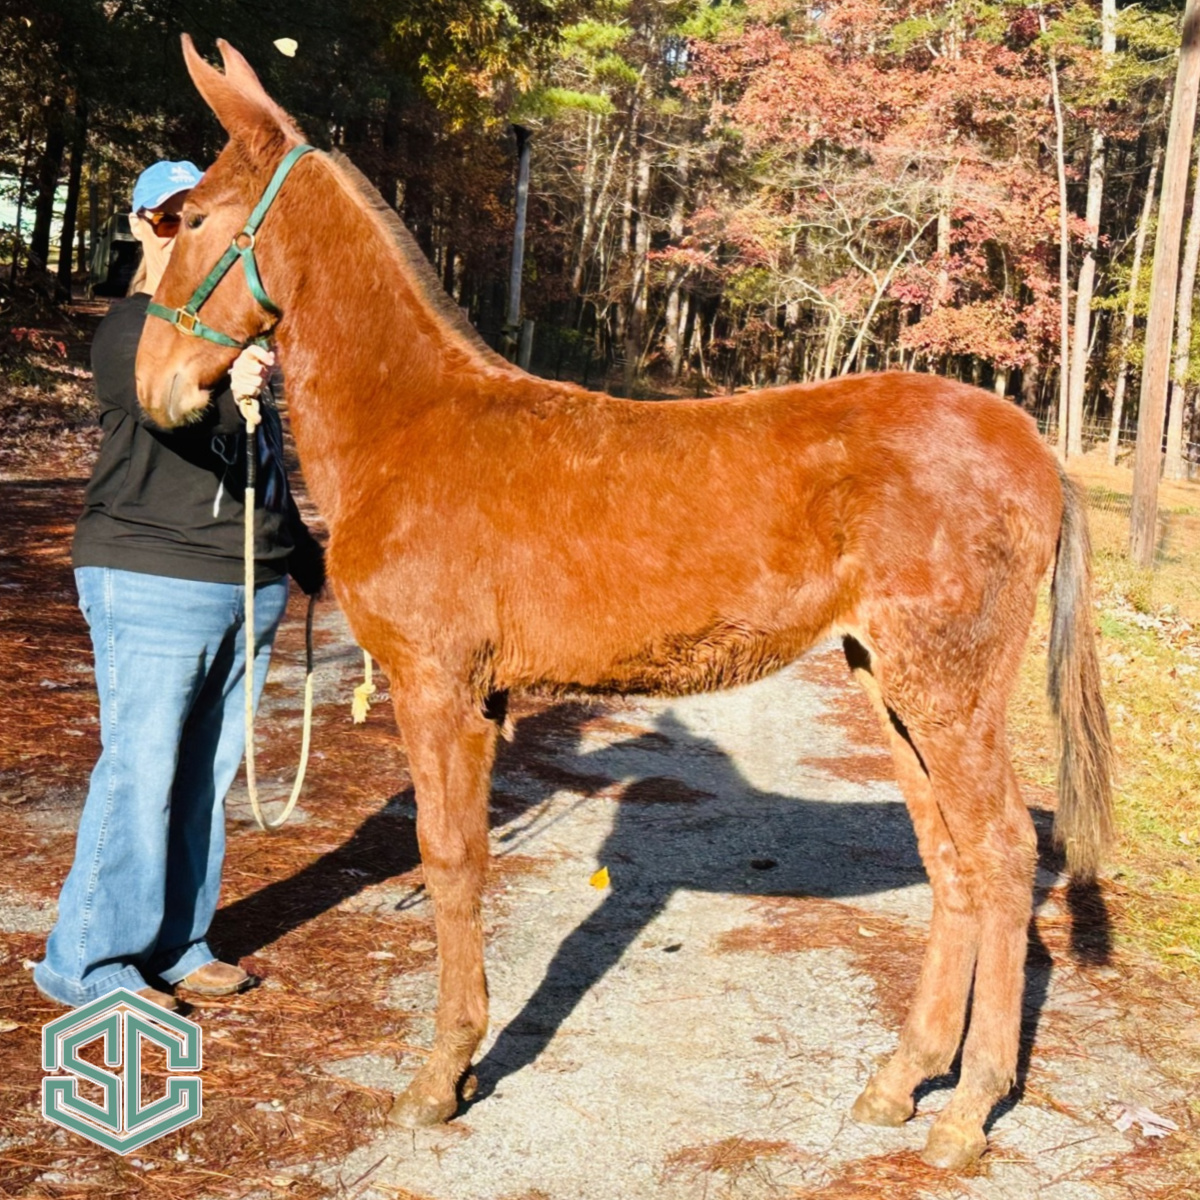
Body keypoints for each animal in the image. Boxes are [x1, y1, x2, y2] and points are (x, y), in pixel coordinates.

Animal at [135, 36, 1114, 1171]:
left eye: (191, 219)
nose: (155, 389)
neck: (413, 427)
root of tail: (1036, 449)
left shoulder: (439, 688)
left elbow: (448, 861)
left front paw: (439, 1077)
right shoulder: (486, 699)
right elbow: (464, 861)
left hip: (948, 692)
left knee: (1001, 856)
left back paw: (967, 1111)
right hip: (893, 687)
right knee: (950, 860)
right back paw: (900, 1081)